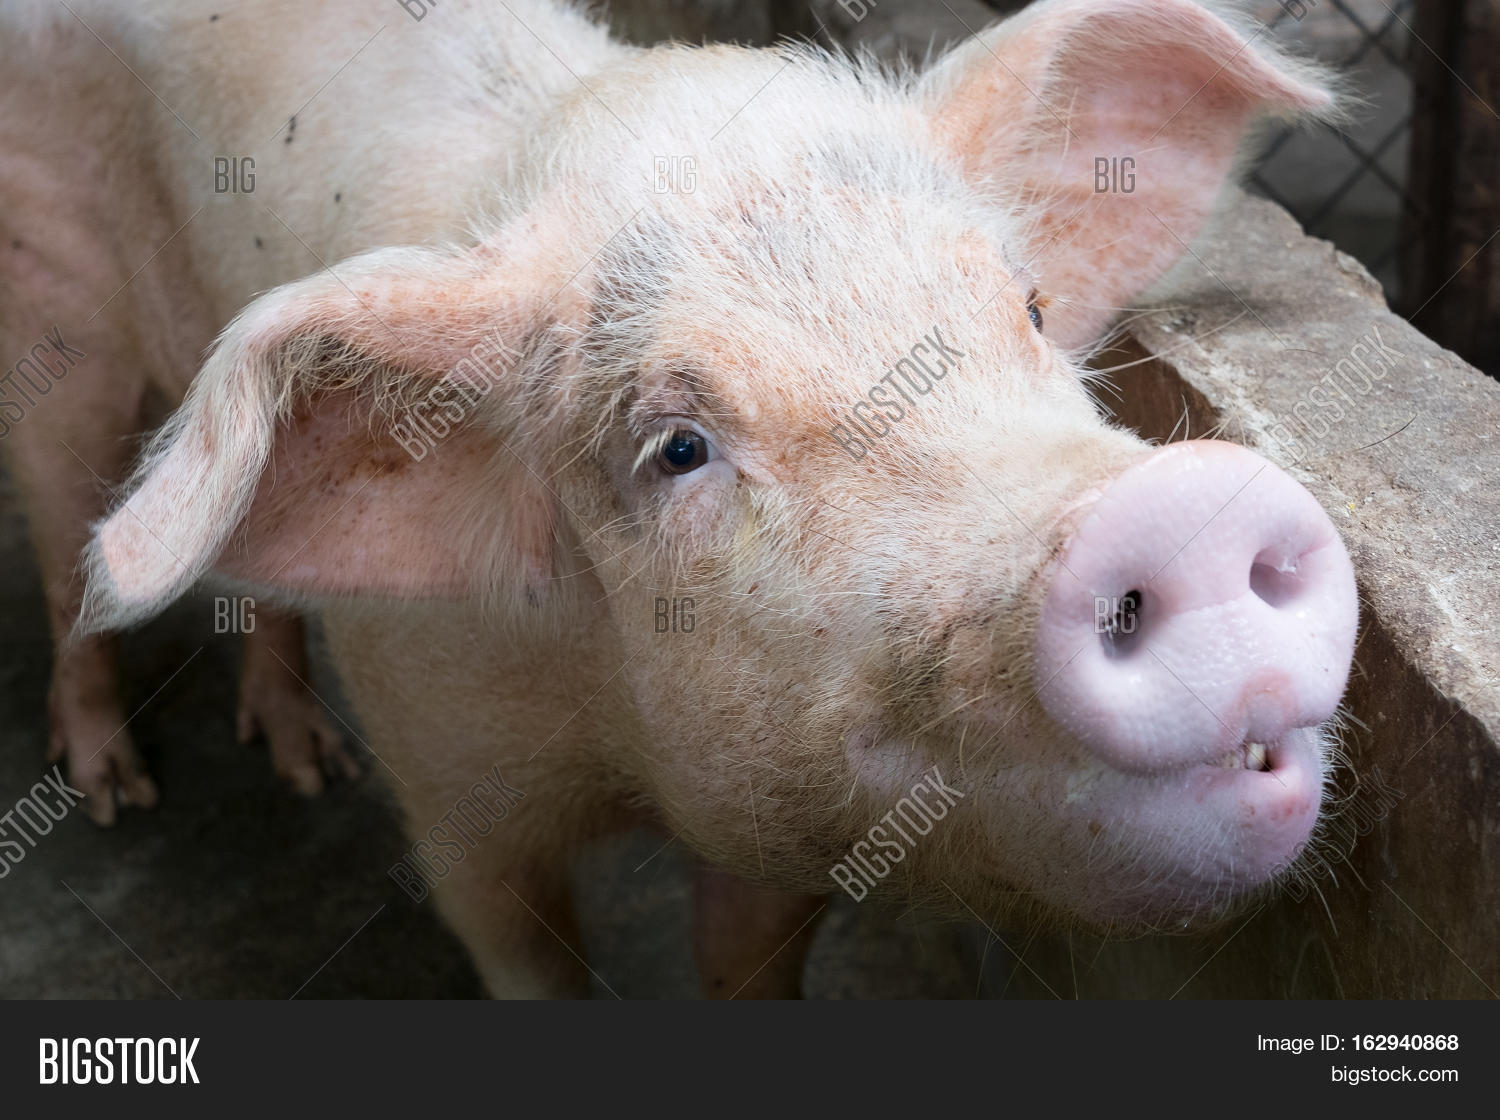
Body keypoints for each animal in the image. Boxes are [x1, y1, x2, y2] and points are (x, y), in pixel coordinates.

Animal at [43, 0, 1356, 996]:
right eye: (679, 449)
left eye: (1028, 310)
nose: (1189, 506)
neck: (614, 749)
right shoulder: (454, 796)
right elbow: (524, 953)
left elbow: (748, 960)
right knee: (69, 547)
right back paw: (114, 792)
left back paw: (304, 762)